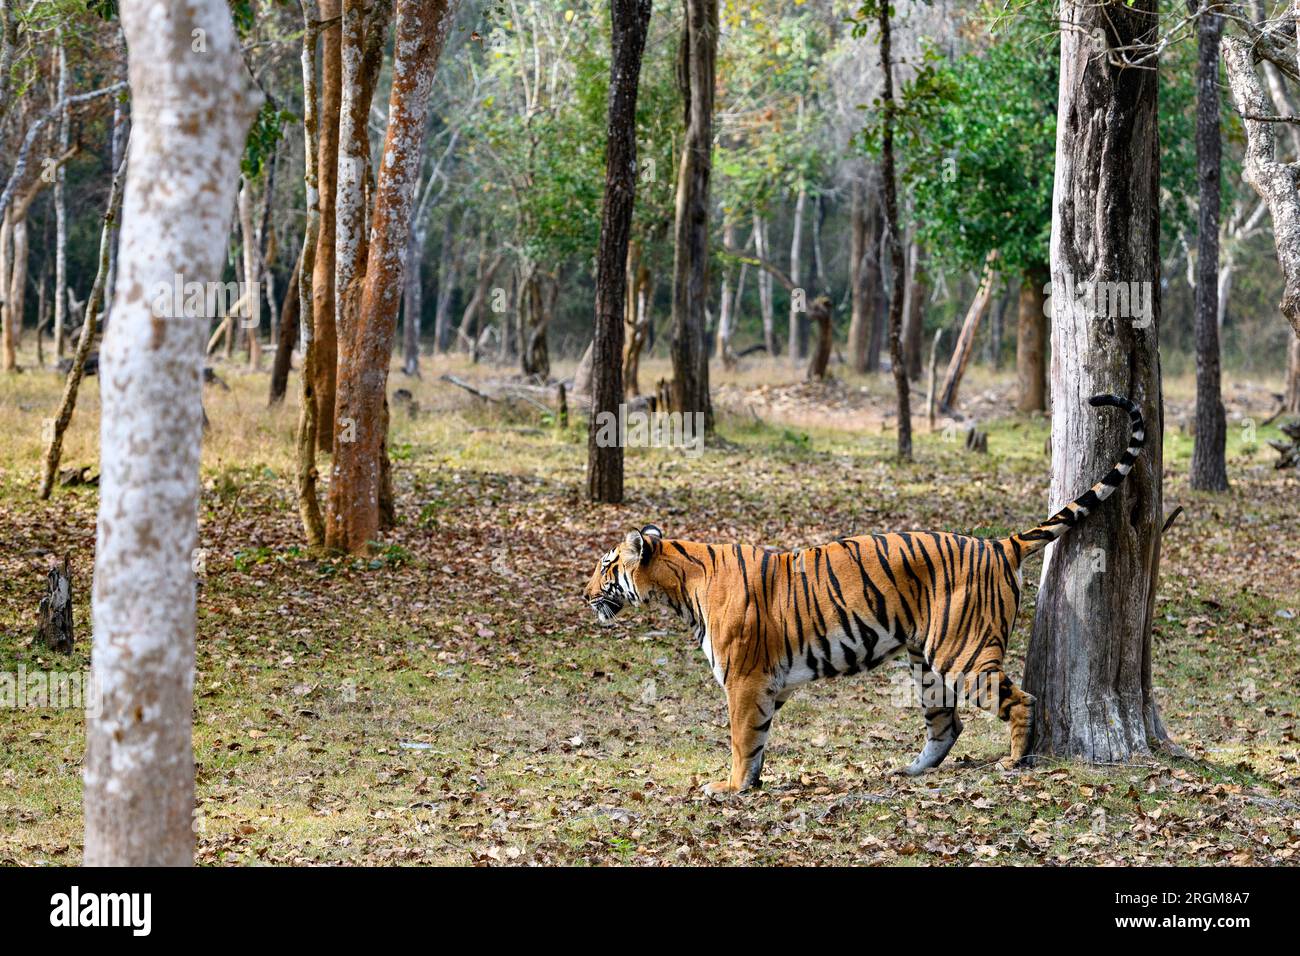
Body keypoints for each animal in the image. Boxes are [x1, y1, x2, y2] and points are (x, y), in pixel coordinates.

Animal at [583, 394, 1145, 794]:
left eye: (607, 565)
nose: (585, 594)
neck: (681, 584)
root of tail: (995, 543)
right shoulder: (769, 683)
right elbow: (759, 737)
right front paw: (751, 784)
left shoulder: (745, 678)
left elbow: (742, 737)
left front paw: (729, 786)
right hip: (927, 664)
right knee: (947, 725)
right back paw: (910, 771)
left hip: (961, 654)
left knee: (1020, 698)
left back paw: (1014, 761)